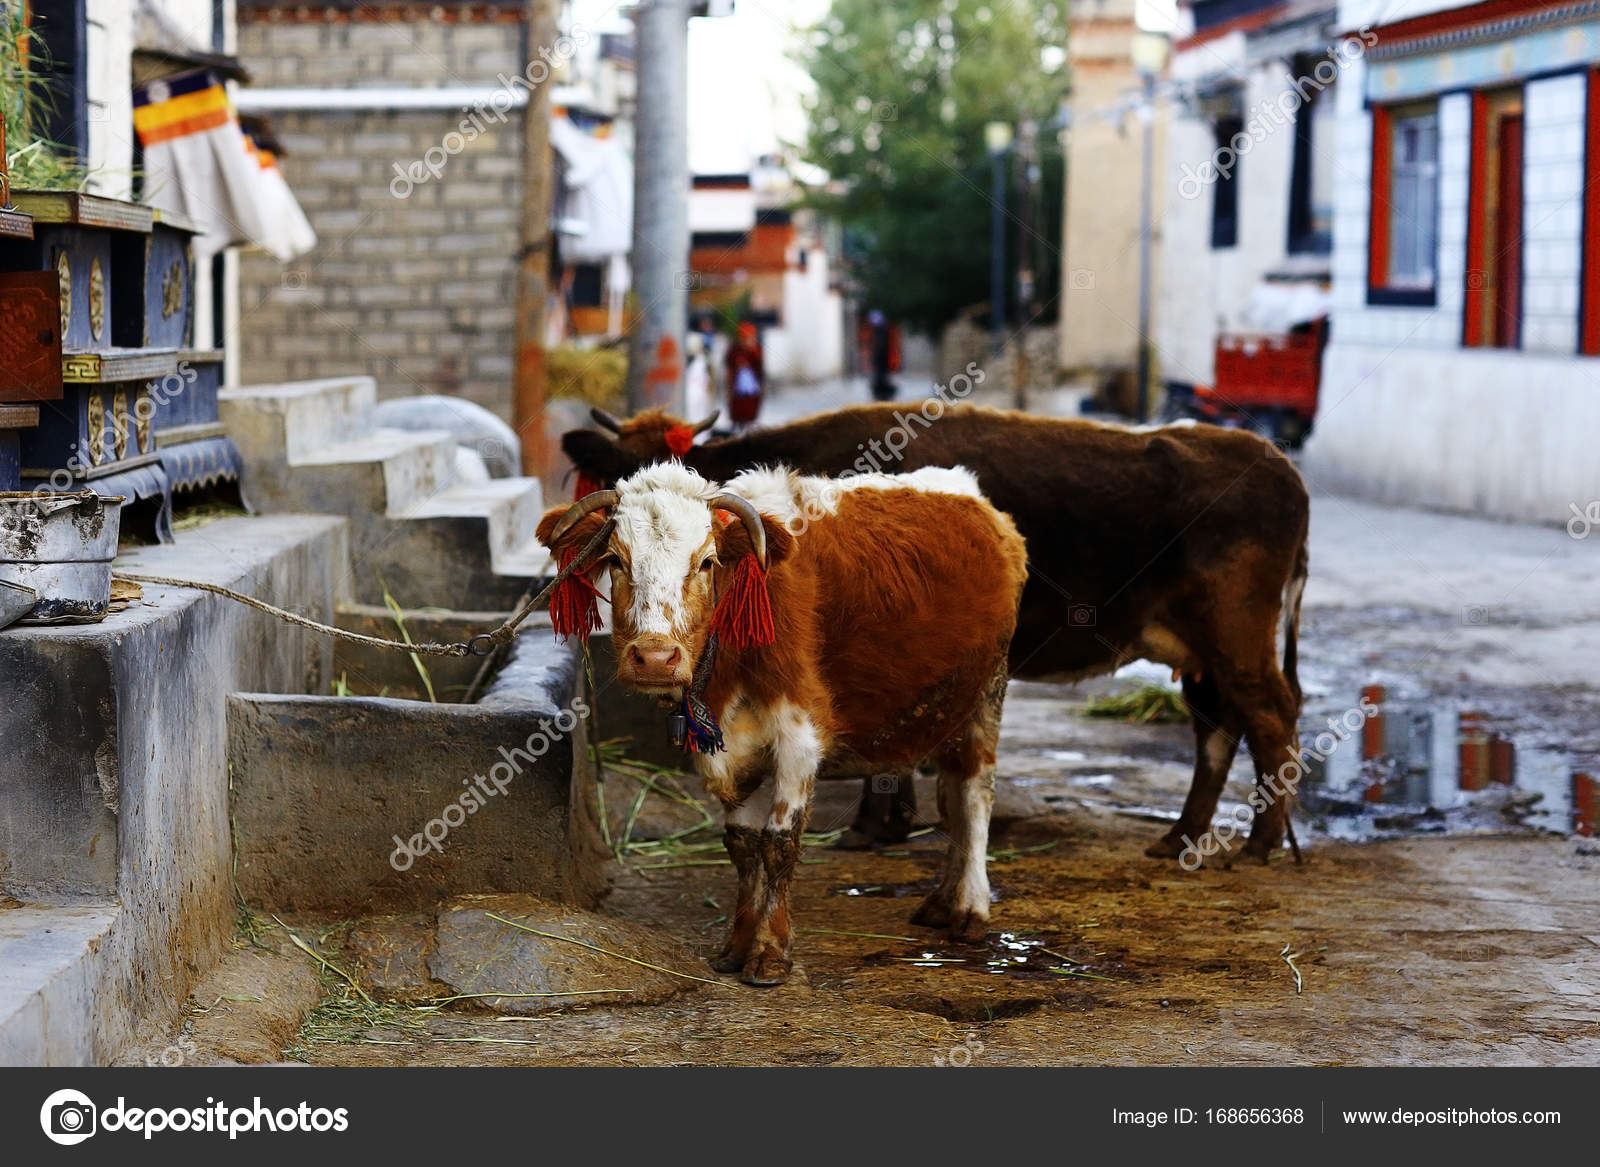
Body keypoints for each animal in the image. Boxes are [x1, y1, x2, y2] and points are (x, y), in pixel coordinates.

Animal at [536, 462, 1028, 985]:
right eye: (616, 559)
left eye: (707, 562)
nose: (654, 657)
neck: (728, 668)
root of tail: (969, 493)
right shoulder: (728, 749)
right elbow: (743, 845)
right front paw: (737, 945)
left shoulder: (799, 737)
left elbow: (778, 843)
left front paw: (770, 952)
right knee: (953, 796)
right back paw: (943, 899)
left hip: (987, 694)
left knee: (974, 795)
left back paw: (969, 907)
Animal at [566, 402, 1311, 866]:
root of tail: (1273, 460)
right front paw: (887, 821)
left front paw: (875, 824)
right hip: (1202, 651)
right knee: (1219, 726)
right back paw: (1182, 836)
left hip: (1237, 636)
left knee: (1271, 715)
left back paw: (1260, 842)